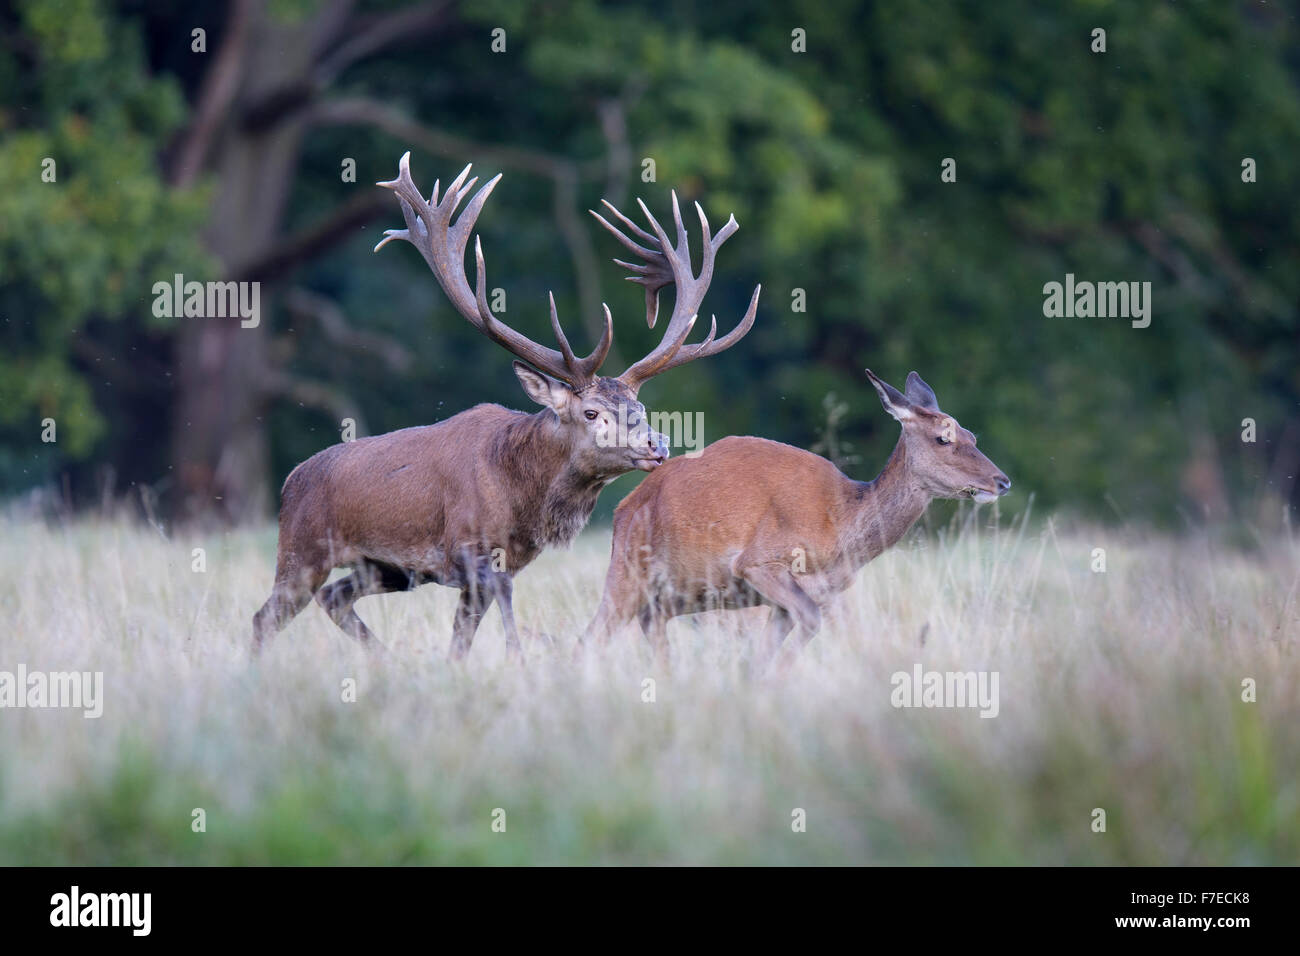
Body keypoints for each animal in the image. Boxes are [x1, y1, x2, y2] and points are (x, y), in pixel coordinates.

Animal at [252, 152, 761, 659]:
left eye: (641, 407)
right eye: (591, 412)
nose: (658, 444)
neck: (521, 497)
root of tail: (290, 481)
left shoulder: (492, 565)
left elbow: (461, 640)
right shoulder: (464, 547)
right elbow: (503, 598)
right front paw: (521, 654)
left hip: (386, 567)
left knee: (332, 597)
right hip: (302, 550)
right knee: (266, 616)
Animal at [579, 369, 1011, 669]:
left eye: (972, 435)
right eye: (943, 437)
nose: (1001, 481)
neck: (840, 523)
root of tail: (625, 507)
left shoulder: (799, 597)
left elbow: (766, 655)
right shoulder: (758, 563)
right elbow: (811, 624)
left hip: (677, 595)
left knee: (648, 627)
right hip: (626, 576)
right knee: (590, 639)